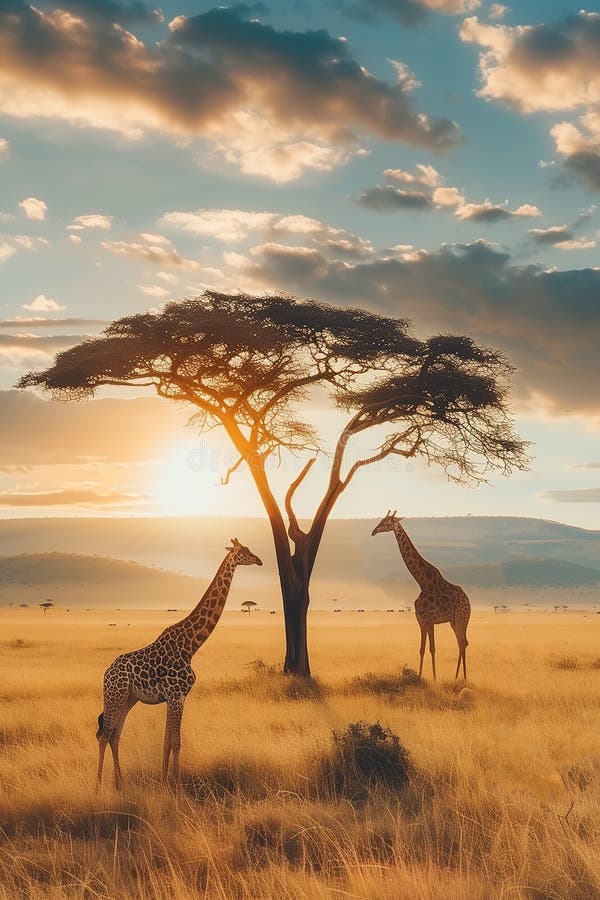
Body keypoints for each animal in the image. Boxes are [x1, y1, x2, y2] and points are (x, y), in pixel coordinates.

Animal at [96, 538, 262, 787]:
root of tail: (107, 673)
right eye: (244, 551)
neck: (190, 645)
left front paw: (165, 780)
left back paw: (120, 783)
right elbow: (175, 742)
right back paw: (97, 786)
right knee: (104, 734)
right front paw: (176, 785)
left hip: (128, 699)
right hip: (115, 695)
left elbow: (167, 742)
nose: (259, 560)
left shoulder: (175, 698)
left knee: (115, 734)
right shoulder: (176, 696)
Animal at [371, 512, 470, 681]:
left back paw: (463, 678)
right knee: (461, 642)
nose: (374, 531)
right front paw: (419, 676)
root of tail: (468, 601)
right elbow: (422, 649)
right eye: (382, 520)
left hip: (461, 617)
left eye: (387, 522)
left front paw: (435, 679)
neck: (422, 582)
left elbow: (432, 648)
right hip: (453, 621)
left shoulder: (430, 620)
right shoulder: (421, 621)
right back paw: (457, 677)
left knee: (463, 642)